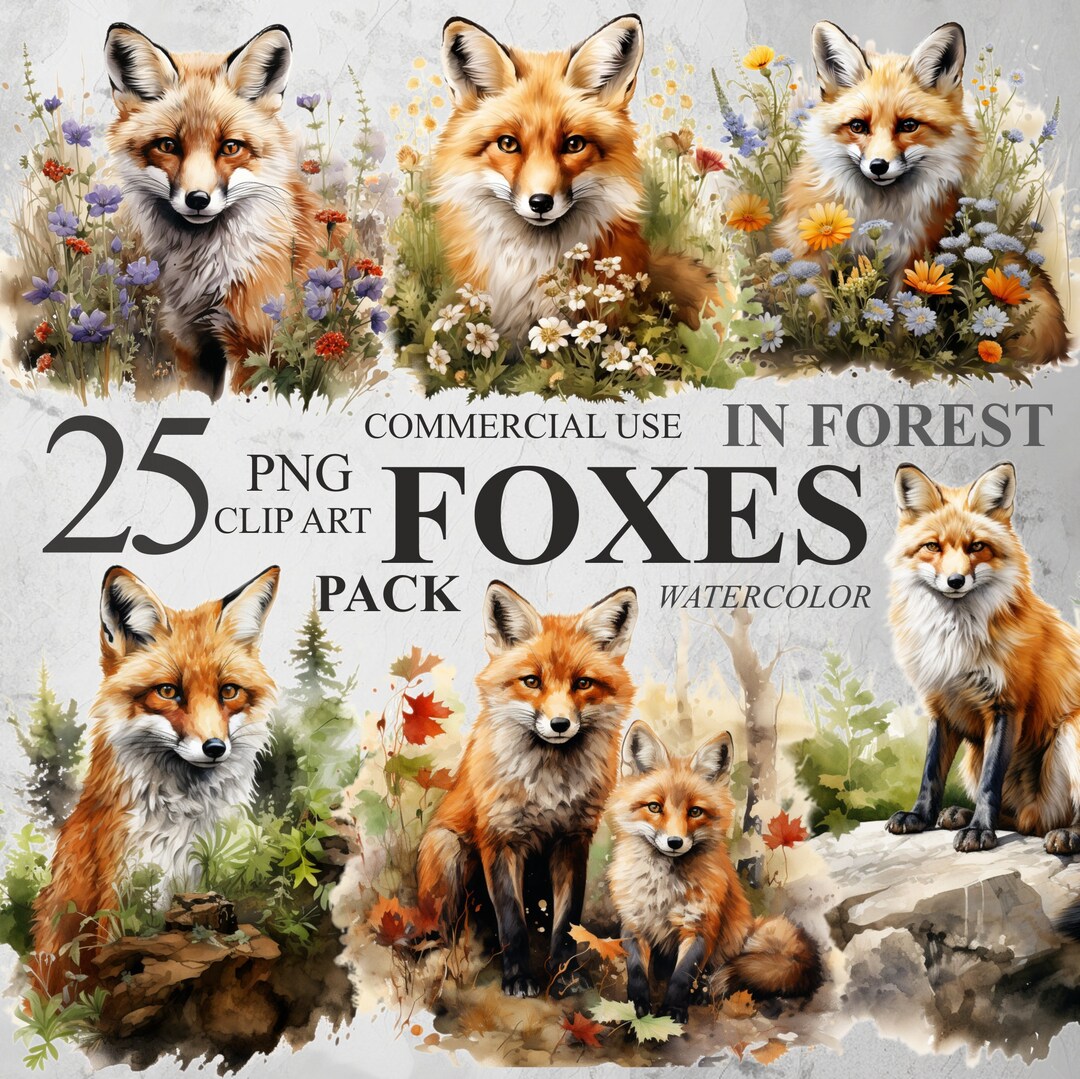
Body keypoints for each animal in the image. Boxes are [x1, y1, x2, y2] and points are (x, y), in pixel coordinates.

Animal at [416, 580, 637, 998]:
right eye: (532, 681)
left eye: (583, 683)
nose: (560, 724)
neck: (549, 788)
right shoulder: (500, 840)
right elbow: (512, 923)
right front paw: (518, 977)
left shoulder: (572, 840)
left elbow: (566, 922)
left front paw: (566, 975)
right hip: (447, 850)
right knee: (446, 931)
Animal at [608, 722, 821, 1021]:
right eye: (654, 807)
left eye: (695, 811)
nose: (675, 842)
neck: (664, 891)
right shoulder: (634, 924)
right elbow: (637, 971)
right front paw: (637, 1009)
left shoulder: (701, 927)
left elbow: (682, 975)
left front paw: (674, 1011)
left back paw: (704, 992)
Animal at [776, 21, 1068, 365]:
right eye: (858, 126)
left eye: (909, 125)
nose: (878, 166)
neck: (877, 214)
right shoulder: (805, 250)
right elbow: (817, 310)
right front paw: (819, 347)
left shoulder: (914, 258)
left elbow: (904, 320)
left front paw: (897, 356)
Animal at [887, 462, 1080, 864]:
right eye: (932, 546)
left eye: (977, 546)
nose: (955, 580)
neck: (955, 645)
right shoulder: (940, 709)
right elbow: (930, 774)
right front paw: (920, 817)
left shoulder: (1006, 705)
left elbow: (992, 782)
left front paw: (980, 832)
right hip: (972, 763)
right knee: (1023, 821)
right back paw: (959, 814)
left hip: (1072, 732)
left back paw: (1068, 834)